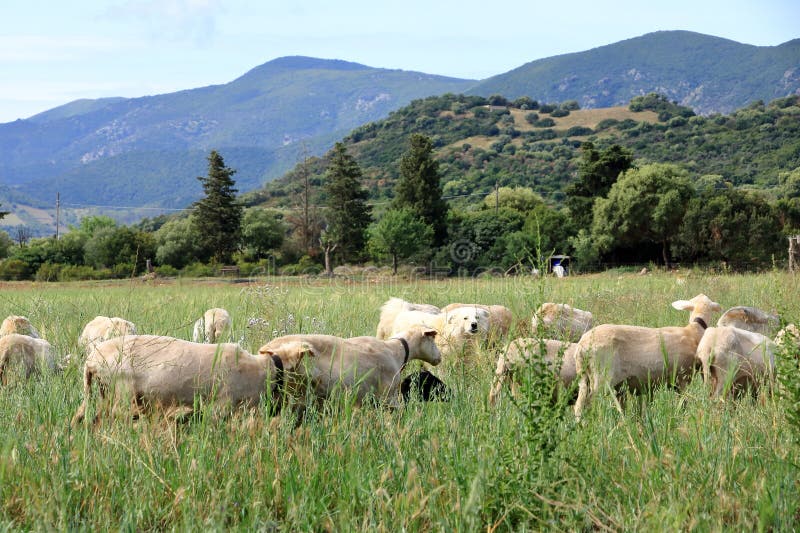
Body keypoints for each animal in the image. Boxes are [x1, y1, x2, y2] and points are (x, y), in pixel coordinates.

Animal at [573, 293, 722, 419]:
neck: (693, 330)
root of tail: (582, 346)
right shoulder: (682, 377)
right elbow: (683, 402)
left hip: (584, 376)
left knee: (579, 405)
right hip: (601, 376)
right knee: (590, 402)